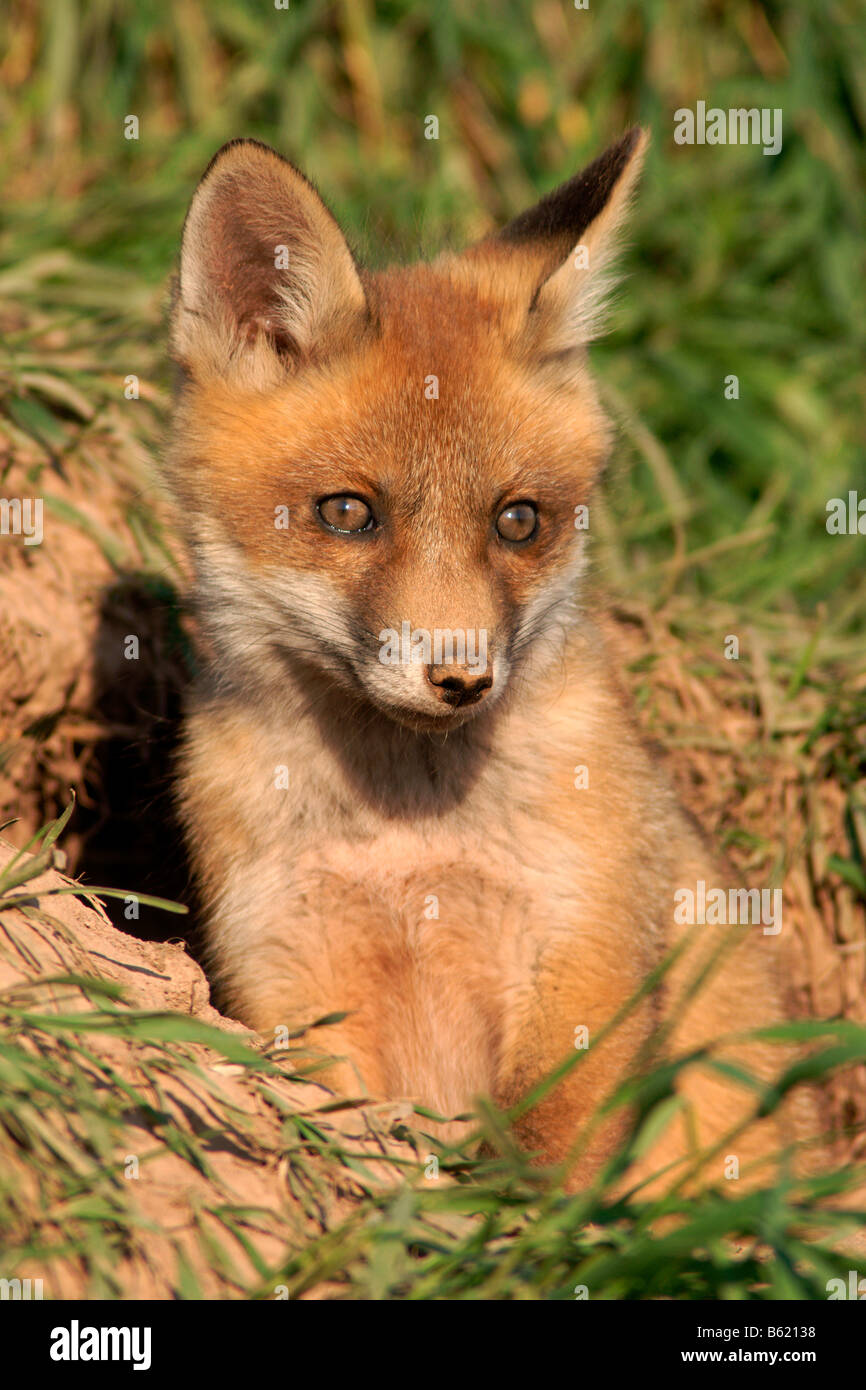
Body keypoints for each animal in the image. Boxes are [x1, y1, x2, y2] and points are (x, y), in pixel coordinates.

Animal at [167, 128, 819, 1190]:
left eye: (519, 521)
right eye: (348, 512)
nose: (462, 678)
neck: (409, 844)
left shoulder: (586, 951)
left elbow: (551, 1161)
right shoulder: (288, 971)